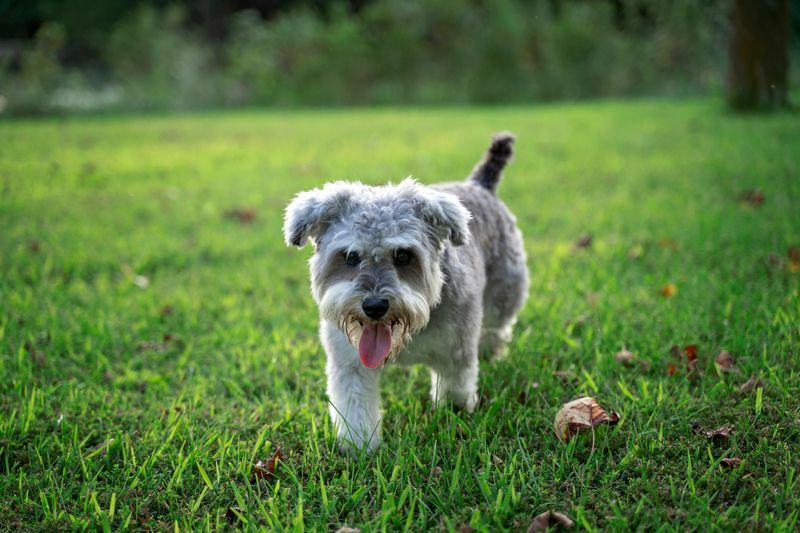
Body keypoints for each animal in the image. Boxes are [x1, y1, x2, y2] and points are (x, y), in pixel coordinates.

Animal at [284, 134, 528, 454]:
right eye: (350, 256)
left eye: (403, 255)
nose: (375, 306)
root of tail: (479, 184)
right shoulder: (350, 364)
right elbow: (355, 408)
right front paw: (359, 448)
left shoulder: (456, 353)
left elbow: (455, 390)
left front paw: (453, 421)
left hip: (504, 297)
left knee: (497, 328)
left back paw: (489, 351)